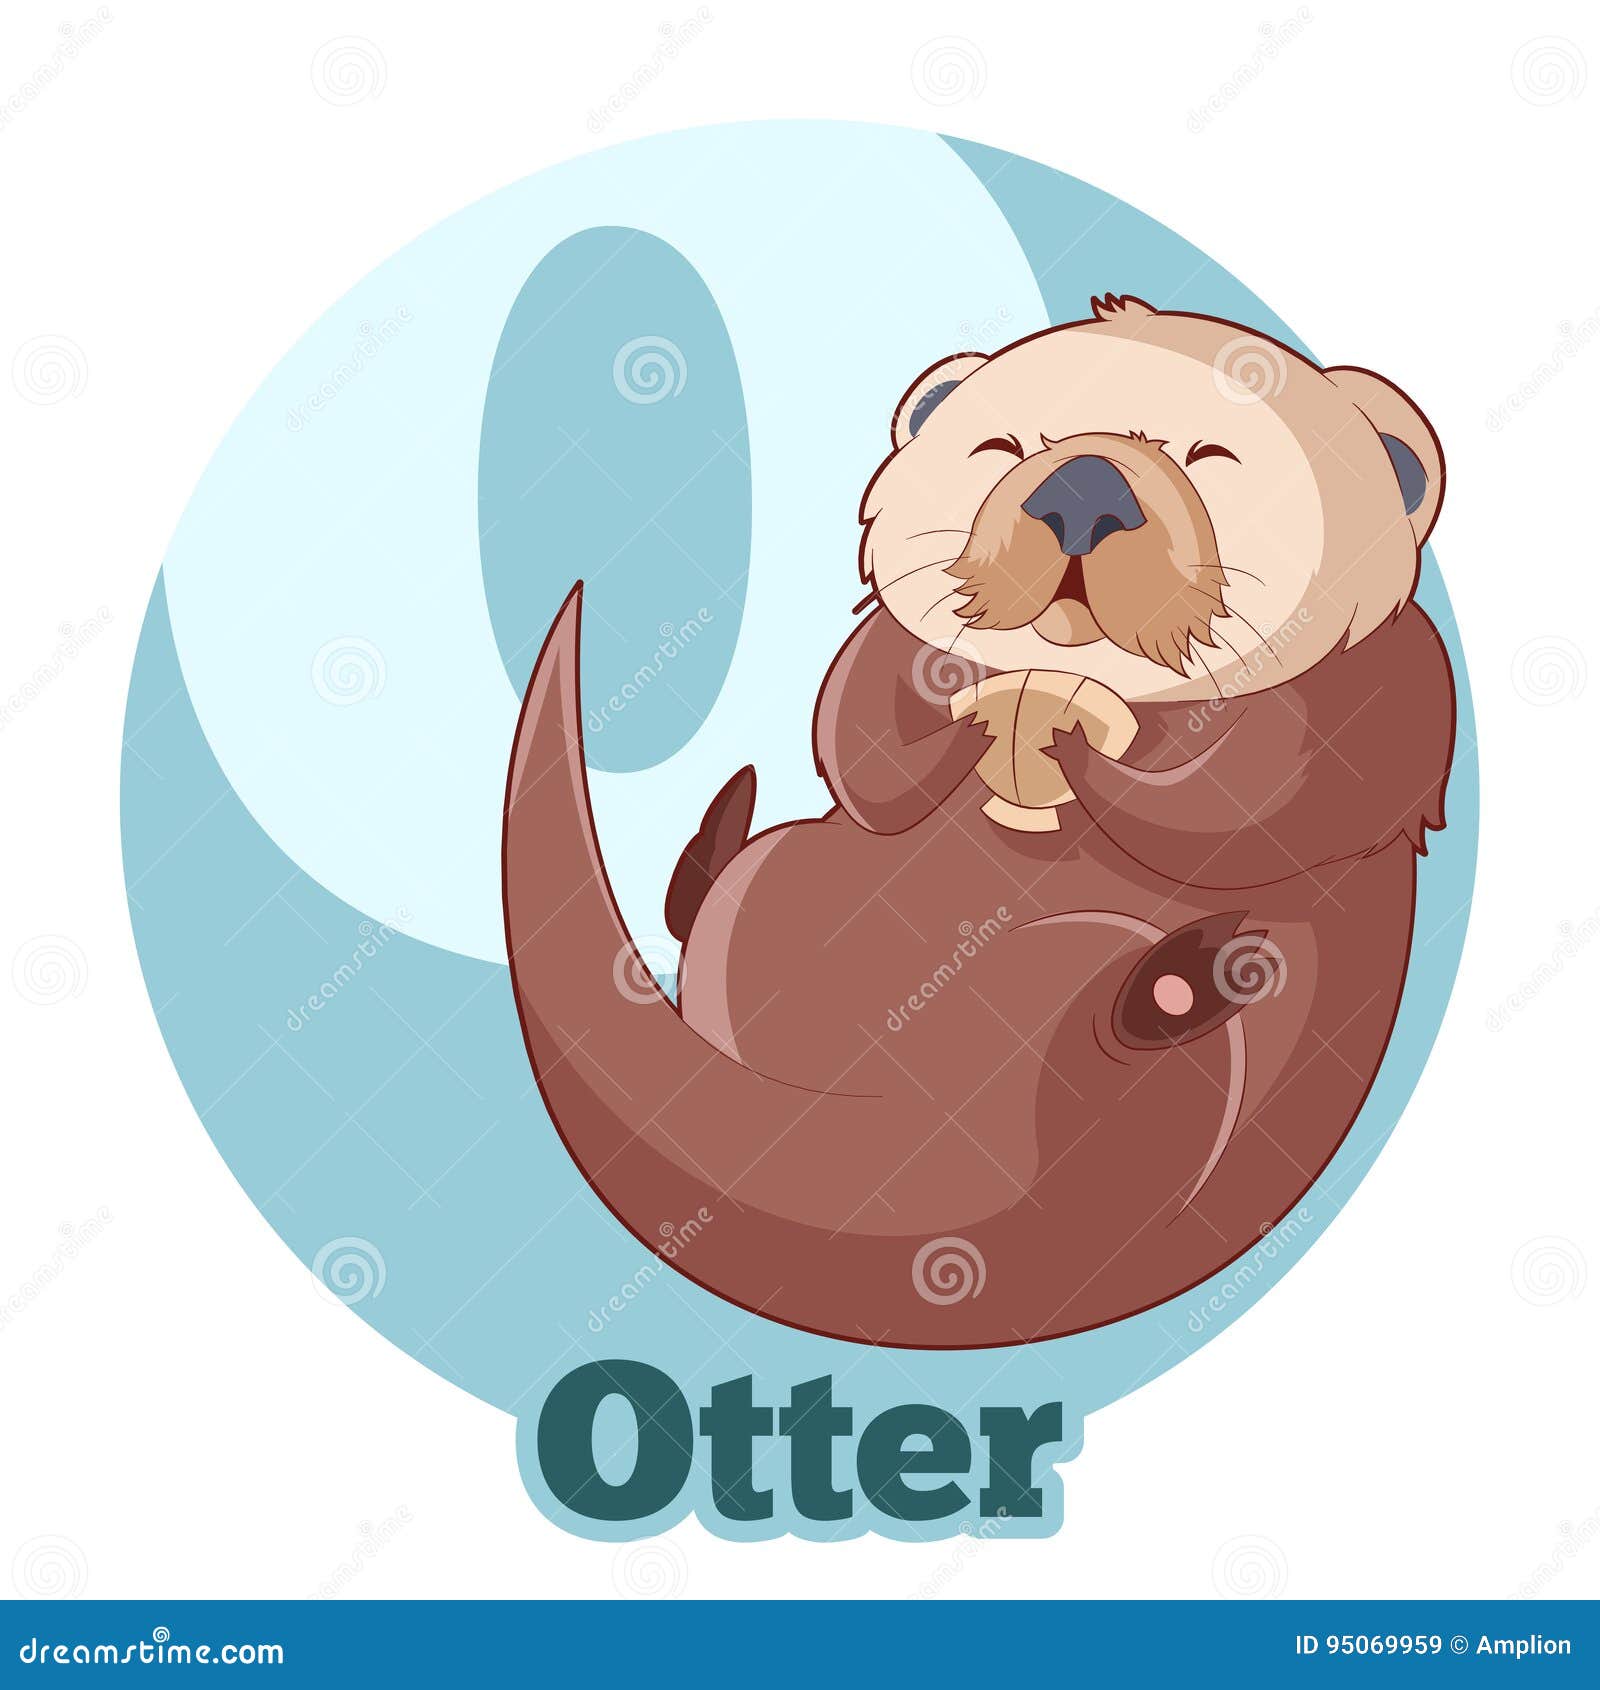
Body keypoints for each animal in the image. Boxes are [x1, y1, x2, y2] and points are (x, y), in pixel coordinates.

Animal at [503, 295, 1455, 1349]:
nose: (1083, 486)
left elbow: (1276, 794)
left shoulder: (1392, 683)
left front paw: (1080, 742)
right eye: (1004, 445)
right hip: (793, 883)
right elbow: (862, 739)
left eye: (1213, 457)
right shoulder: (884, 659)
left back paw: (1181, 985)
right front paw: (981, 721)